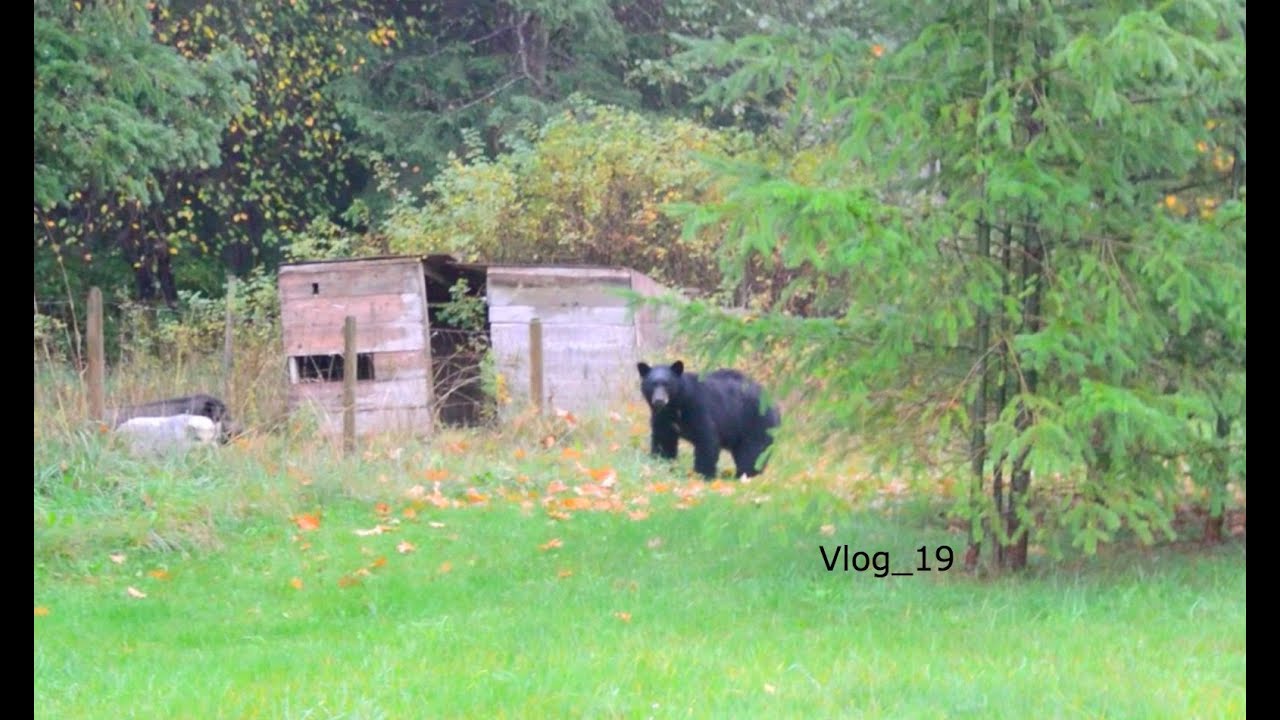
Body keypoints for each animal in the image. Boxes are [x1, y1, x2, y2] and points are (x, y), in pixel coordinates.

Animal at [637, 360, 781, 480]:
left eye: (667, 384)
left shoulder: (698, 408)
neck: (675, 406)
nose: (659, 400)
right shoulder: (662, 417)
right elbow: (663, 439)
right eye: (653, 384)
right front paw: (661, 462)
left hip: (756, 423)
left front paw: (703, 475)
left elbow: (706, 439)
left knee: (753, 452)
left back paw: (746, 476)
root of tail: (774, 405)